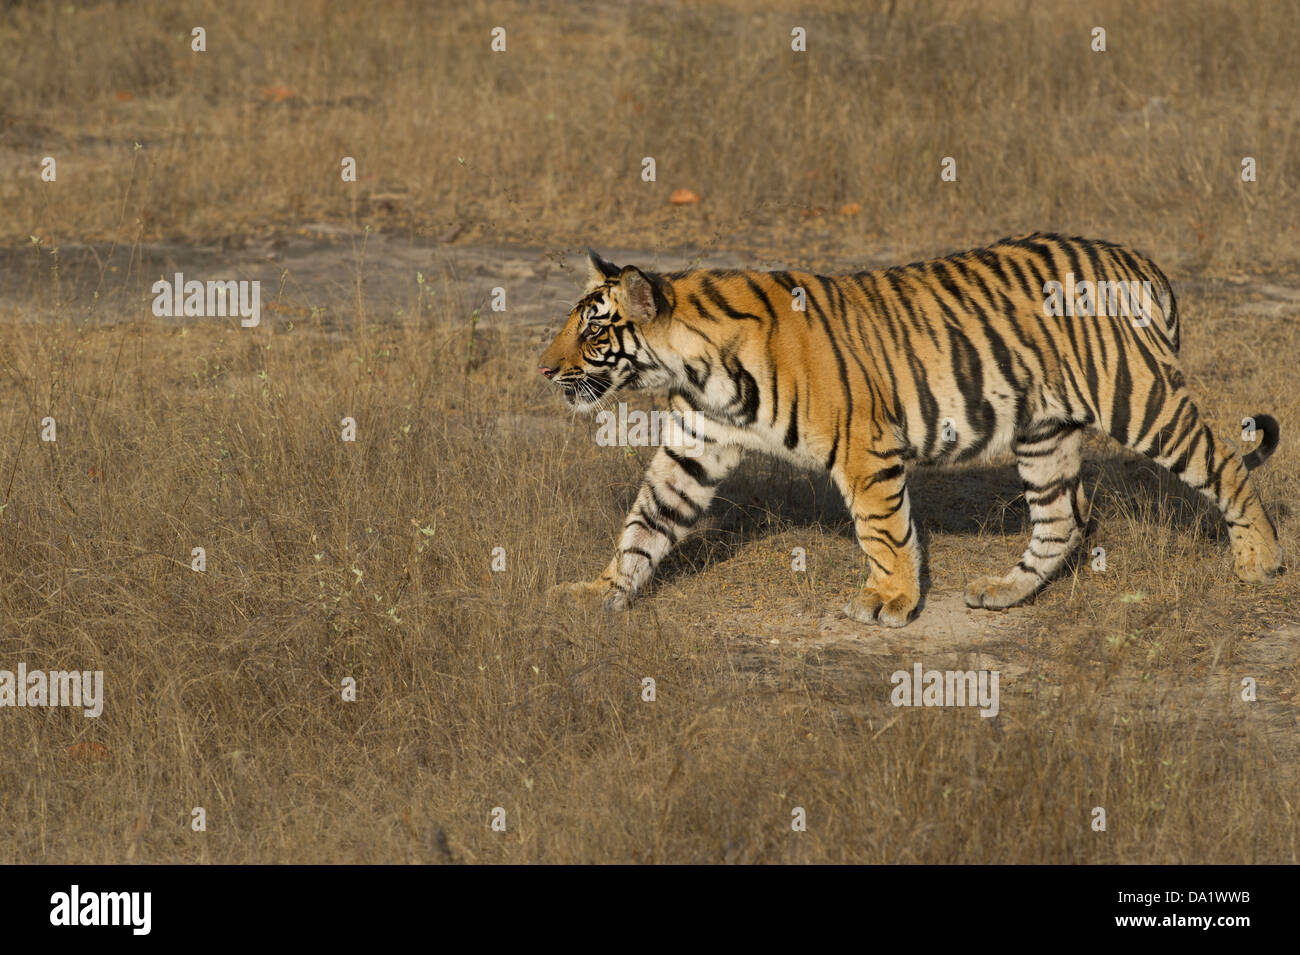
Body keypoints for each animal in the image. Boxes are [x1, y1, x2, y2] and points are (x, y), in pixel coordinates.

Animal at [539, 233, 1282, 627]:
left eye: (594, 329)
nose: (543, 368)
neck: (696, 366)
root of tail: (1137, 259)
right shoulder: (693, 449)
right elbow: (645, 523)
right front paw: (600, 591)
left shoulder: (865, 446)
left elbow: (883, 529)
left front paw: (891, 599)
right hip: (1044, 430)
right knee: (1063, 518)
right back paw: (1003, 592)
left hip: (1137, 397)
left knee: (1224, 462)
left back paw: (1261, 560)